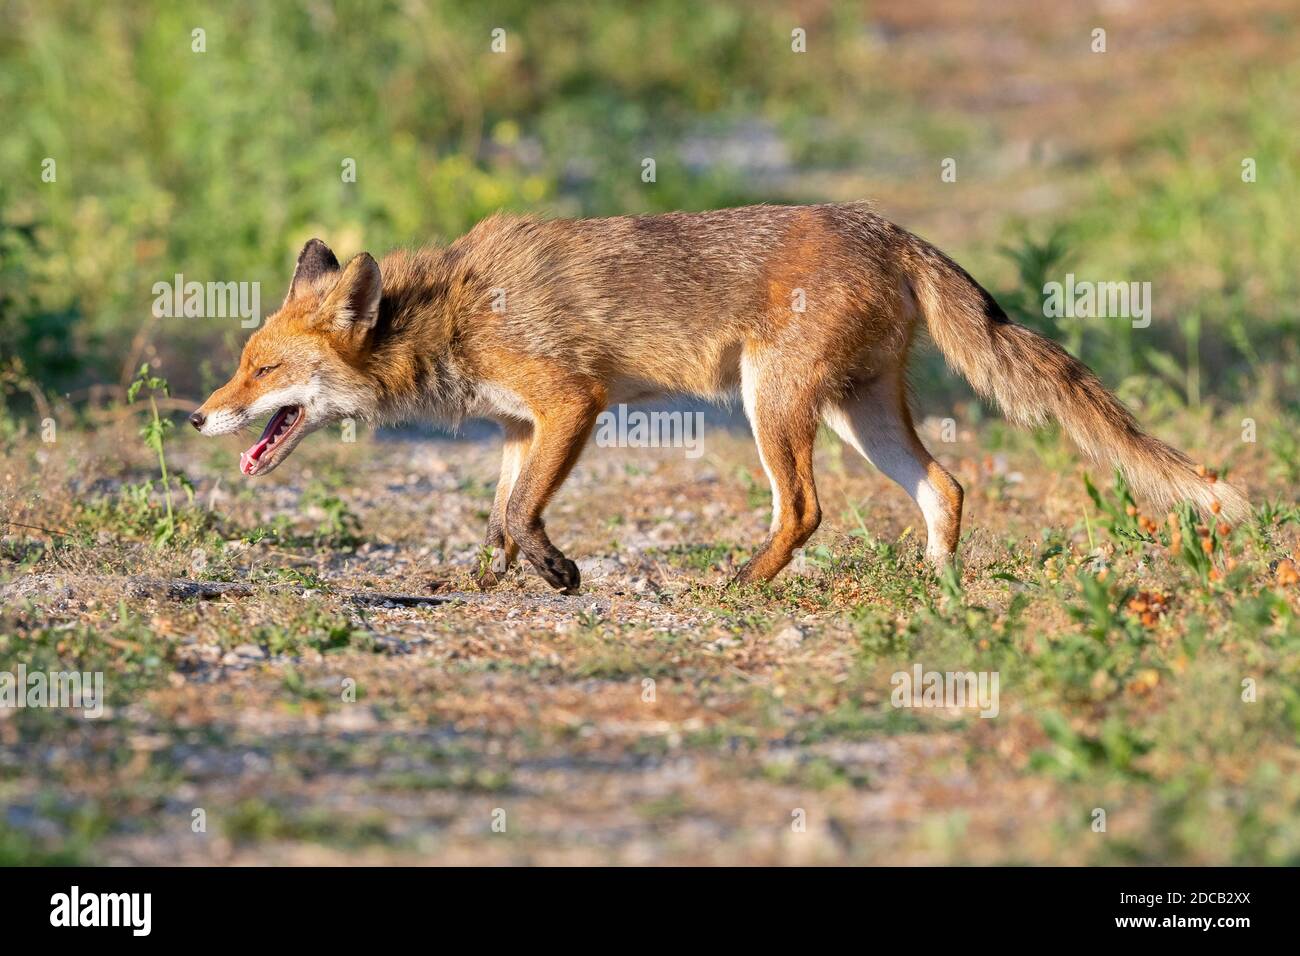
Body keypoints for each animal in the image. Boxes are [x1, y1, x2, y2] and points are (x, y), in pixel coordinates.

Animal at [191, 202, 1248, 593]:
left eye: (262, 370)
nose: (196, 415)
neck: (452, 312)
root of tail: (889, 225)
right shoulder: (517, 426)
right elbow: (498, 516)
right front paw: (495, 581)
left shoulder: (573, 402)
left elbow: (525, 513)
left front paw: (559, 573)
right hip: (856, 414)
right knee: (944, 487)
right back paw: (941, 588)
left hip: (770, 403)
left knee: (807, 509)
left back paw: (744, 582)